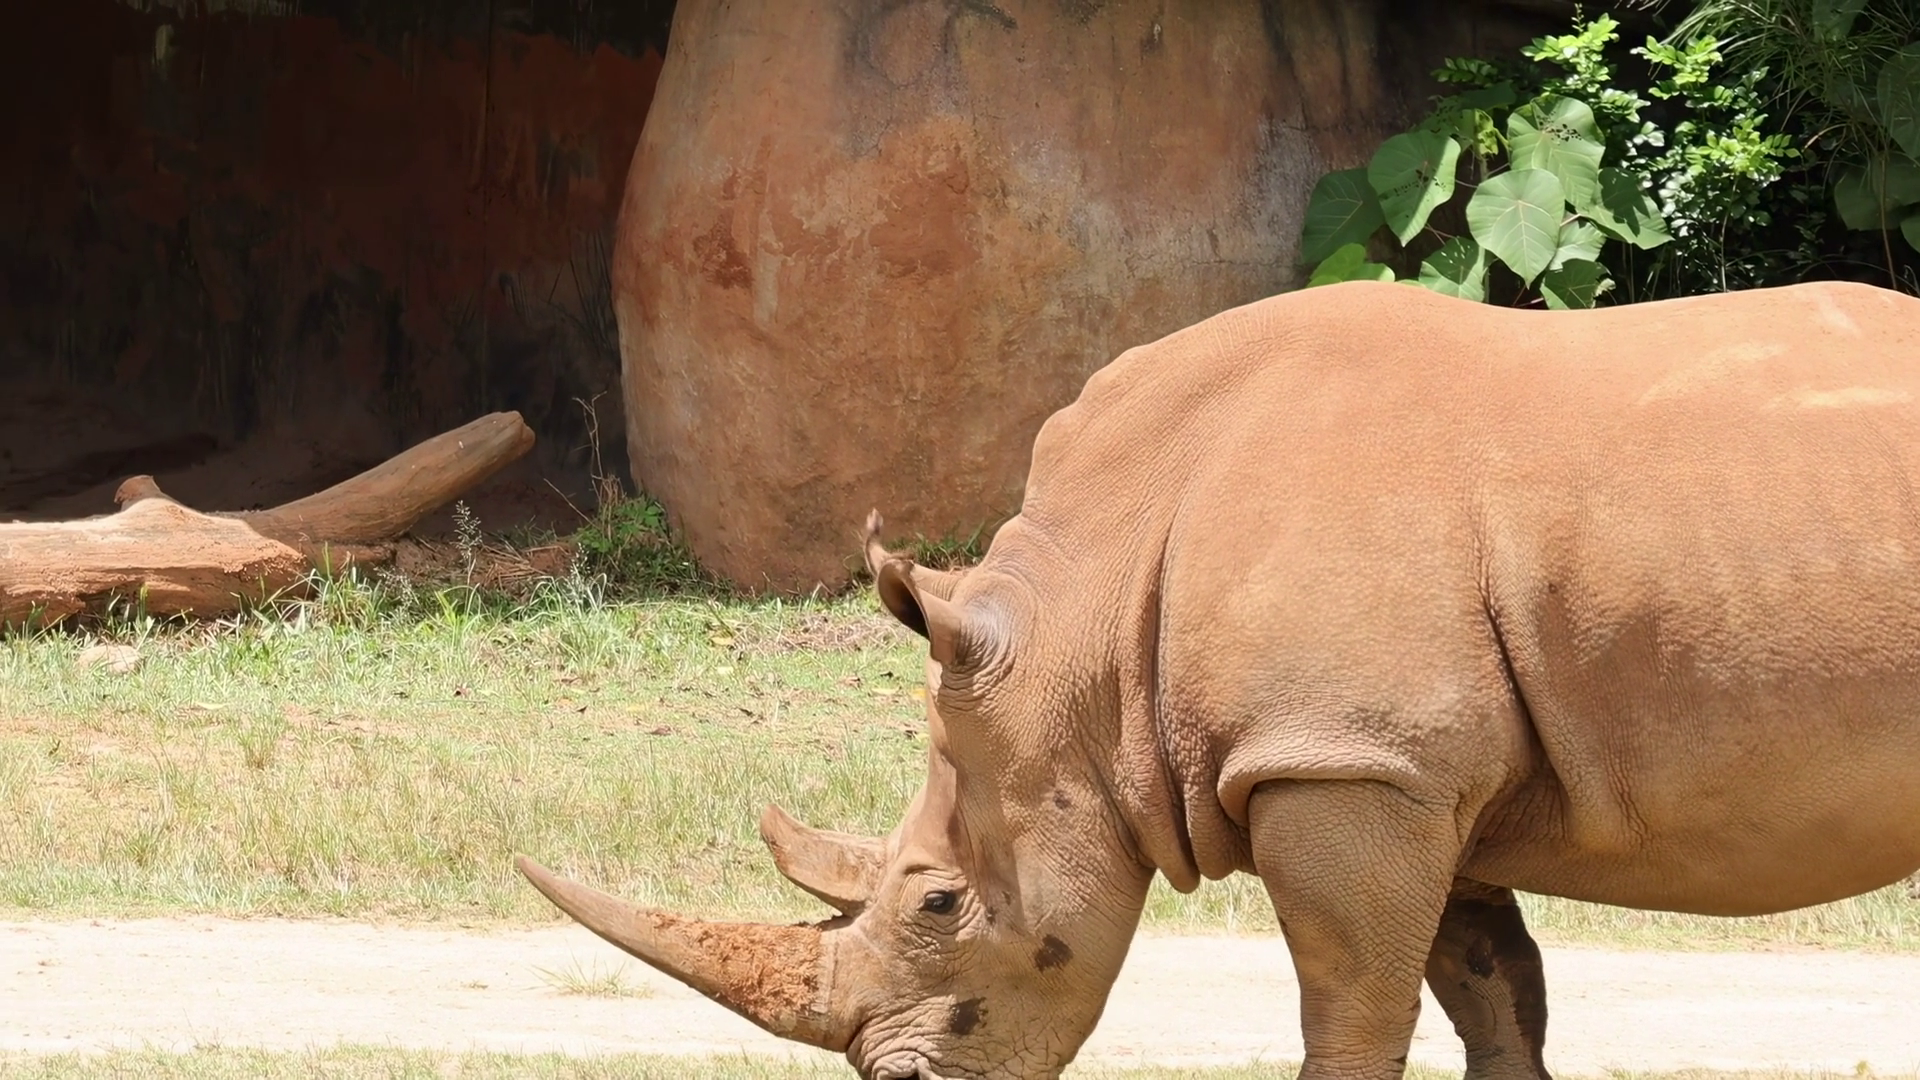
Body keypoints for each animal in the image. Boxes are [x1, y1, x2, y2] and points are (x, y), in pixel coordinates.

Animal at [516, 279, 1920, 1080]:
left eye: (938, 906)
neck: (1082, 635)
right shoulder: (1412, 767)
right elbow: (1493, 996)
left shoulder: (1342, 760)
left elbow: (1353, 1011)